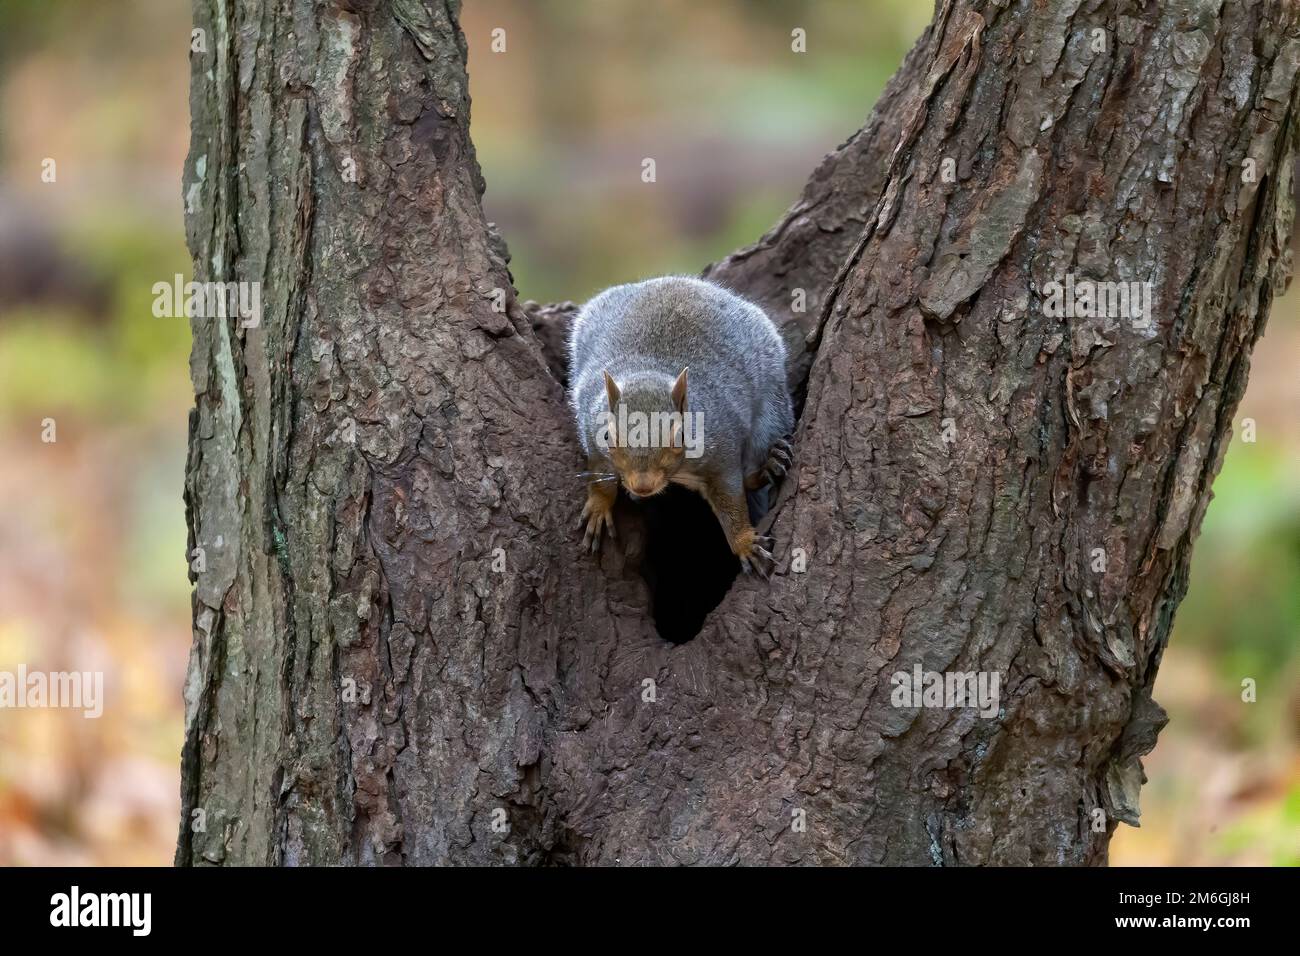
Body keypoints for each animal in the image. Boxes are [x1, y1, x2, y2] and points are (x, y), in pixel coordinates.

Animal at [568, 276, 794, 576]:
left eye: (682, 436)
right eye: (607, 436)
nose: (642, 486)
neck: (648, 372)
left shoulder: (721, 451)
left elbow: (732, 500)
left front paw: (745, 542)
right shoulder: (589, 429)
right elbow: (599, 473)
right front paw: (598, 505)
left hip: (770, 408)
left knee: (754, 467)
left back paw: (769, 464)